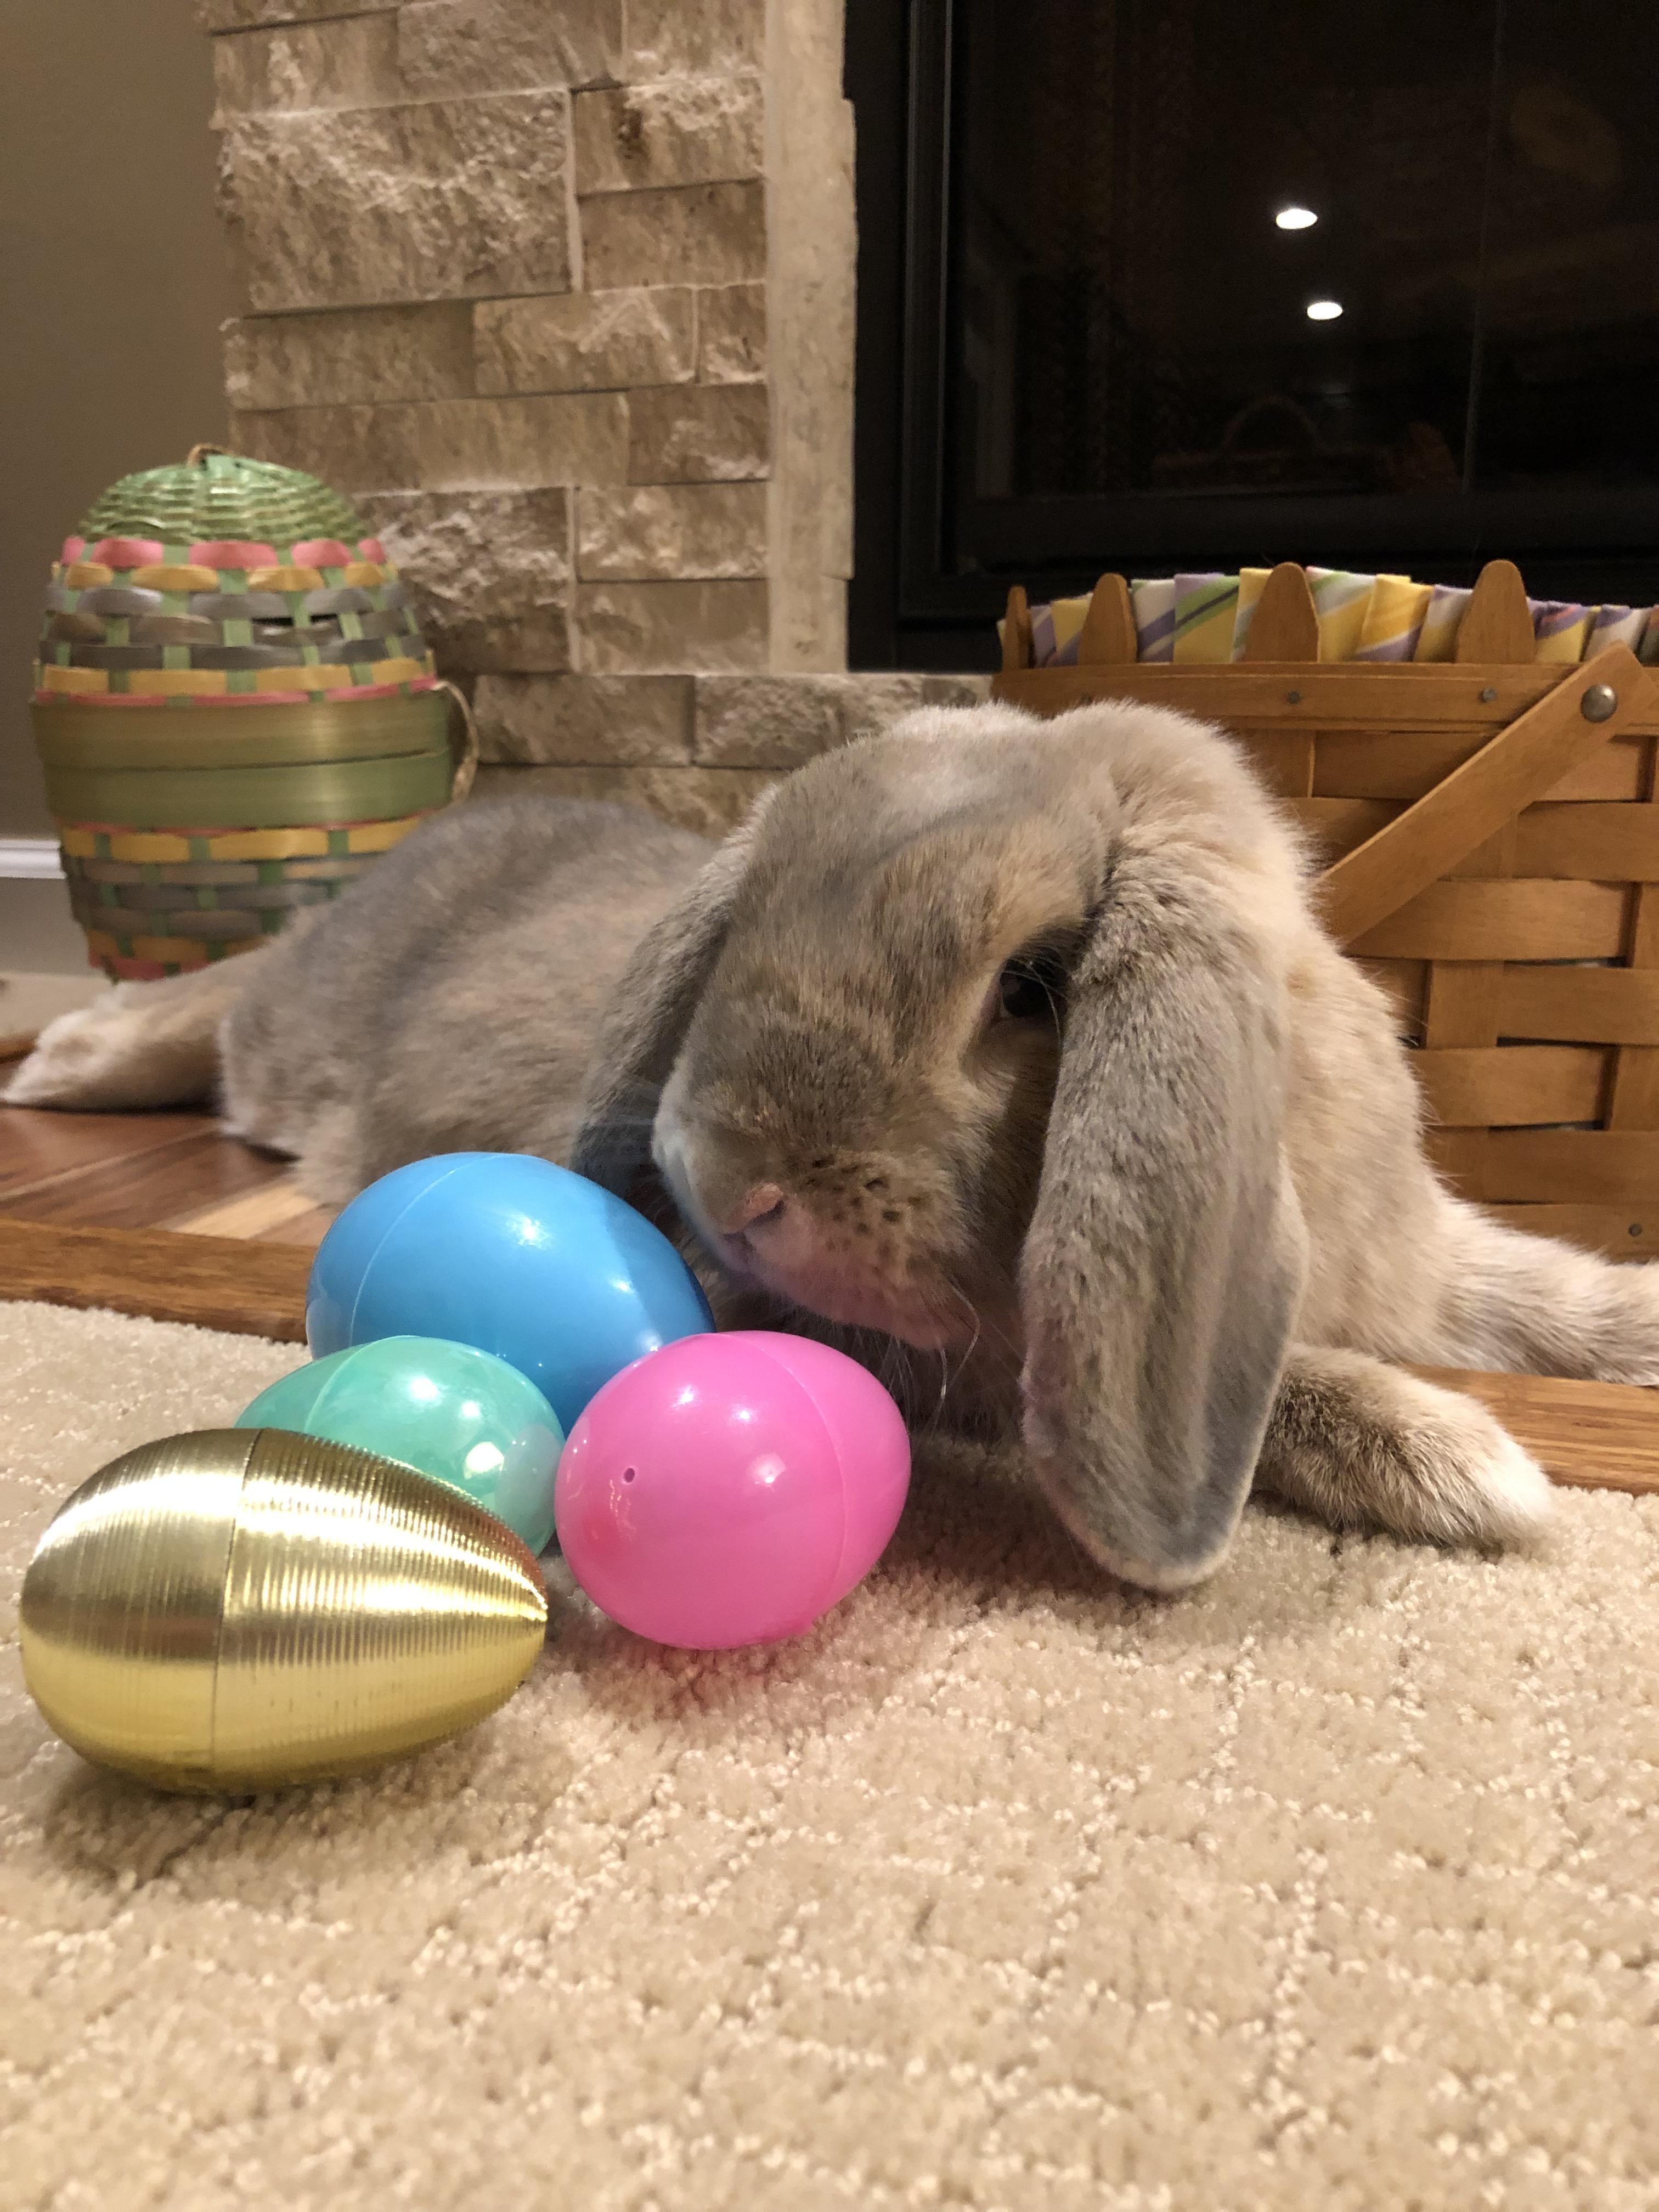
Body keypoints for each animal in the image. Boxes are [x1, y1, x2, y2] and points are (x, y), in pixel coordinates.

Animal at [14, 698, 1657, 1589]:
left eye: (1032, 985)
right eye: (747, 916)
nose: (723, 1186)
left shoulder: (1439, 1262)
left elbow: (1543, 1296)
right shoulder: (956, 1361)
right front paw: (1471, 1464)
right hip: (294, 1020)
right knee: (214, 992)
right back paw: (65, 1059)